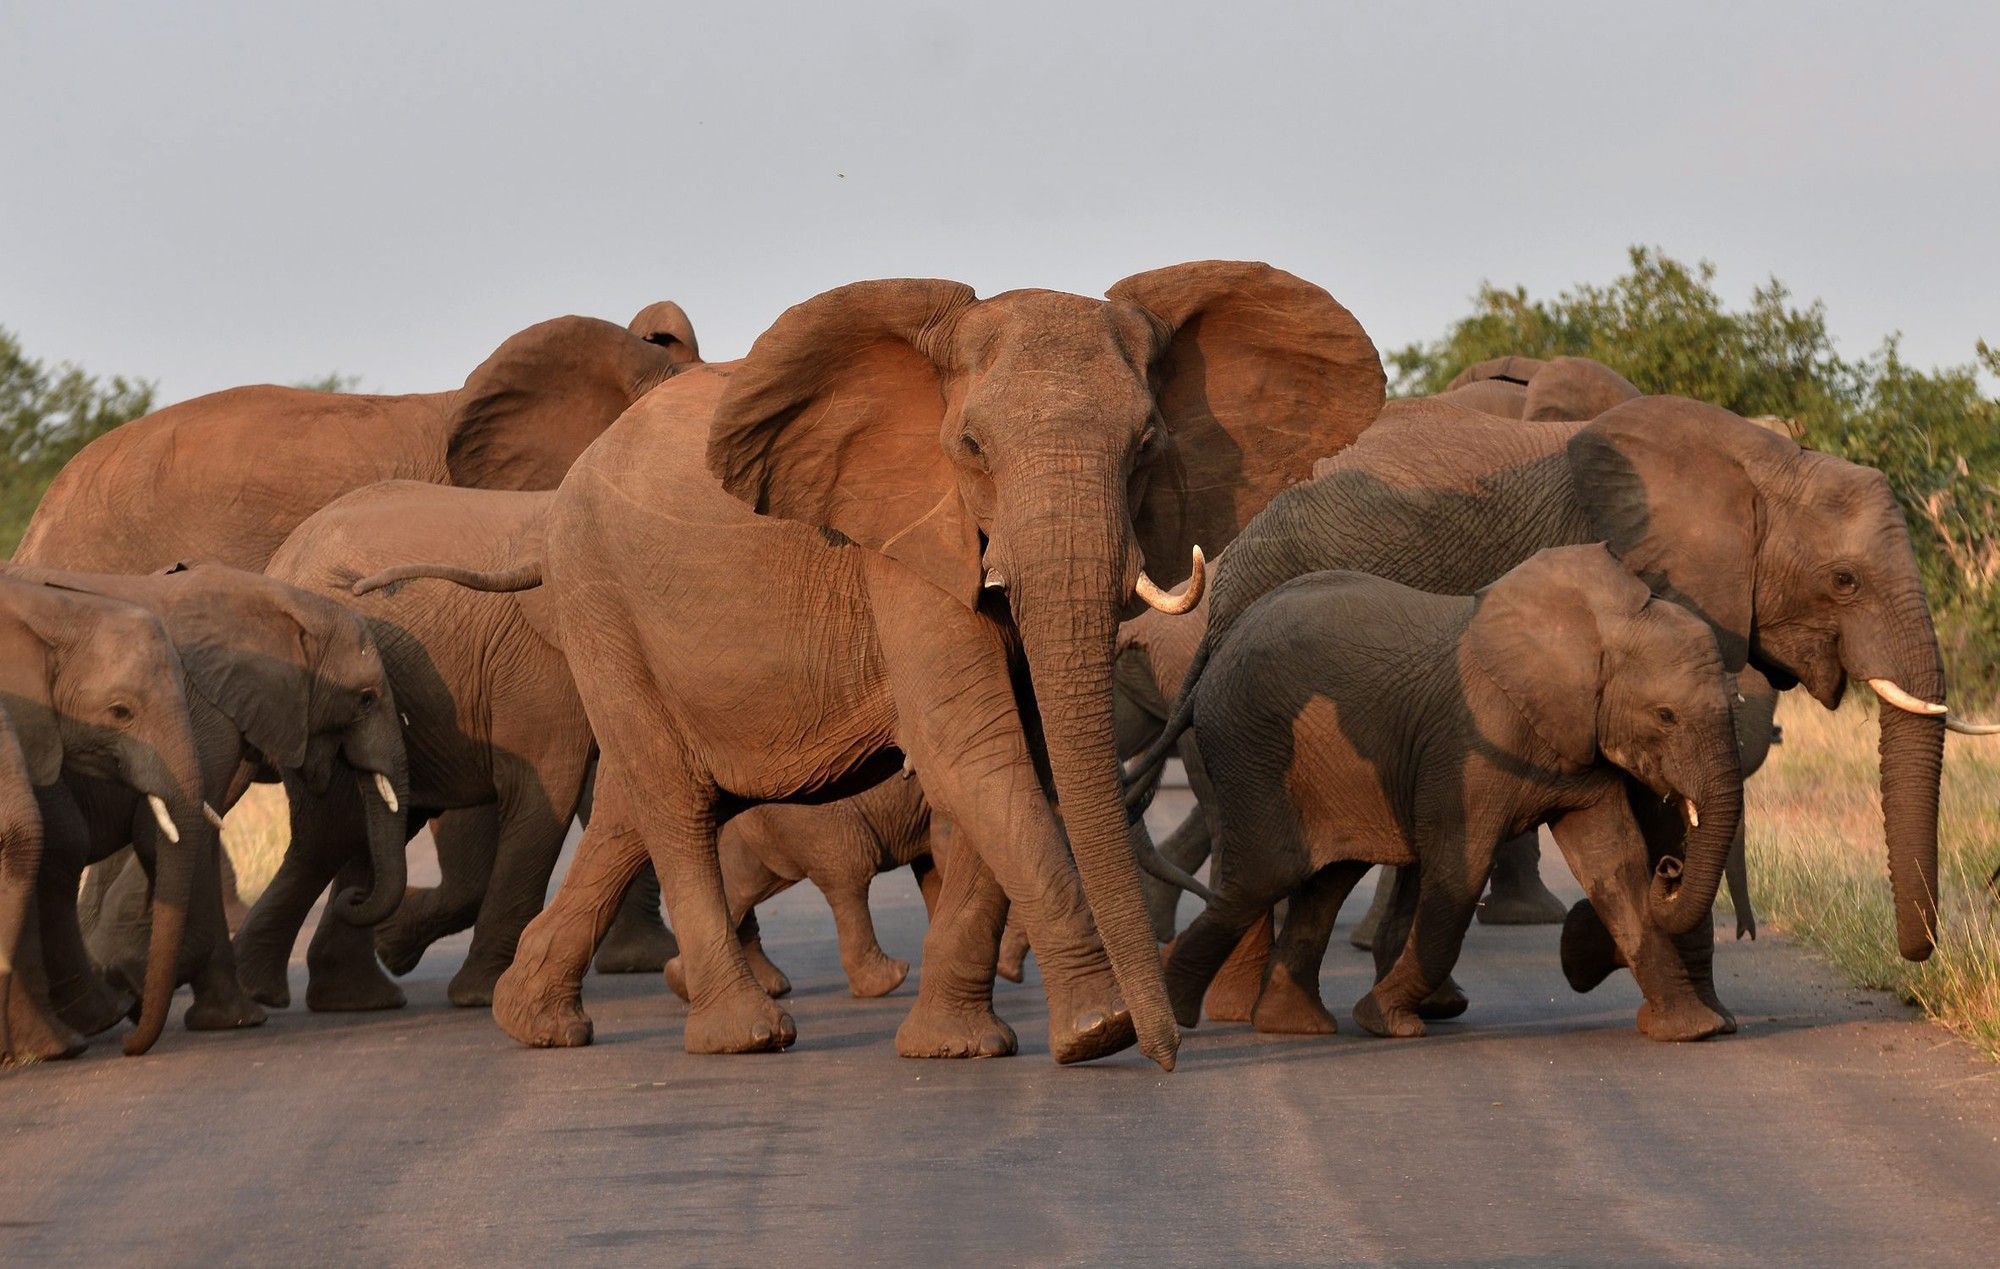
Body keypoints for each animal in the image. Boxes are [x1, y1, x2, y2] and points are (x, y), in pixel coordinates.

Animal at [247, 480, 595, 1011]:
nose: (363, 586)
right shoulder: (542, 658)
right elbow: (547, 787)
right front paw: (481, 996)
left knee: (370, 826)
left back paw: (356, 990)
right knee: (331, 832)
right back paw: (264, 994)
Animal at [381, 261, 1386, 1069]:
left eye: (1147, 446)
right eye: (972, 448)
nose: (1168, 1054)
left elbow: (1011, 758)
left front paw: (961, 1047)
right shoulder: (903, 544)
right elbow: (970, 750)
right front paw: (1097, 1033)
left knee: (640, 798)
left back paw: (534, 1022)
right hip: (597, 596)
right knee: (670, 798)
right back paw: (744, 1036)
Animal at [1164, 546, 1744, 1042]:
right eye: (1665, 716)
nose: (1671, 868)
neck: (1597, 627)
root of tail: (1216, 654)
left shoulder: (1580, 737)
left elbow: (1616, 865)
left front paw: (1692, 1031)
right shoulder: (1474, 743)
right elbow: (1459, 873)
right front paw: (1388, 1023)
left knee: (1326, 880)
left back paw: (1294, 1026)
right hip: (1252, 747)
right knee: (1270, 871)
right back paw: (1178, 1015)